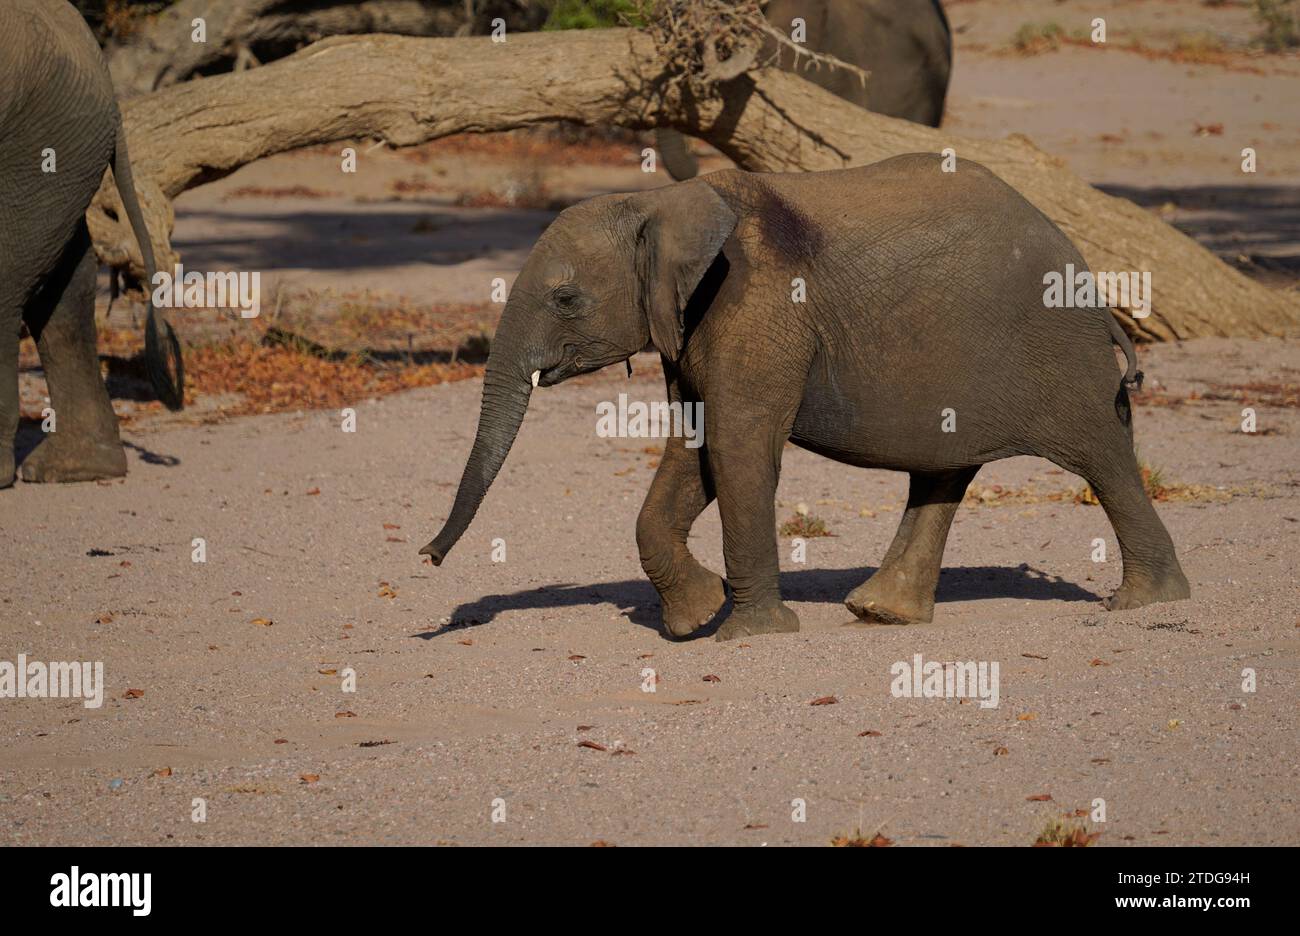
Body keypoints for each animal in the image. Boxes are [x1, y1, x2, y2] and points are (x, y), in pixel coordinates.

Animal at [422, 153, 1191, 640]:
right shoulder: (693, 324)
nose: (427, 559)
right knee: (945, 468)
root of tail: (1091, 284)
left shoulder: (756, 307)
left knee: (1102, 457)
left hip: (1056, 353)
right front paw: (693, 619)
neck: (660, 202)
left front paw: (748, 635)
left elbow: (739, 448)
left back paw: (1144, 603)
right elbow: (696, 451)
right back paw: (881, 615)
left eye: (566, 299)